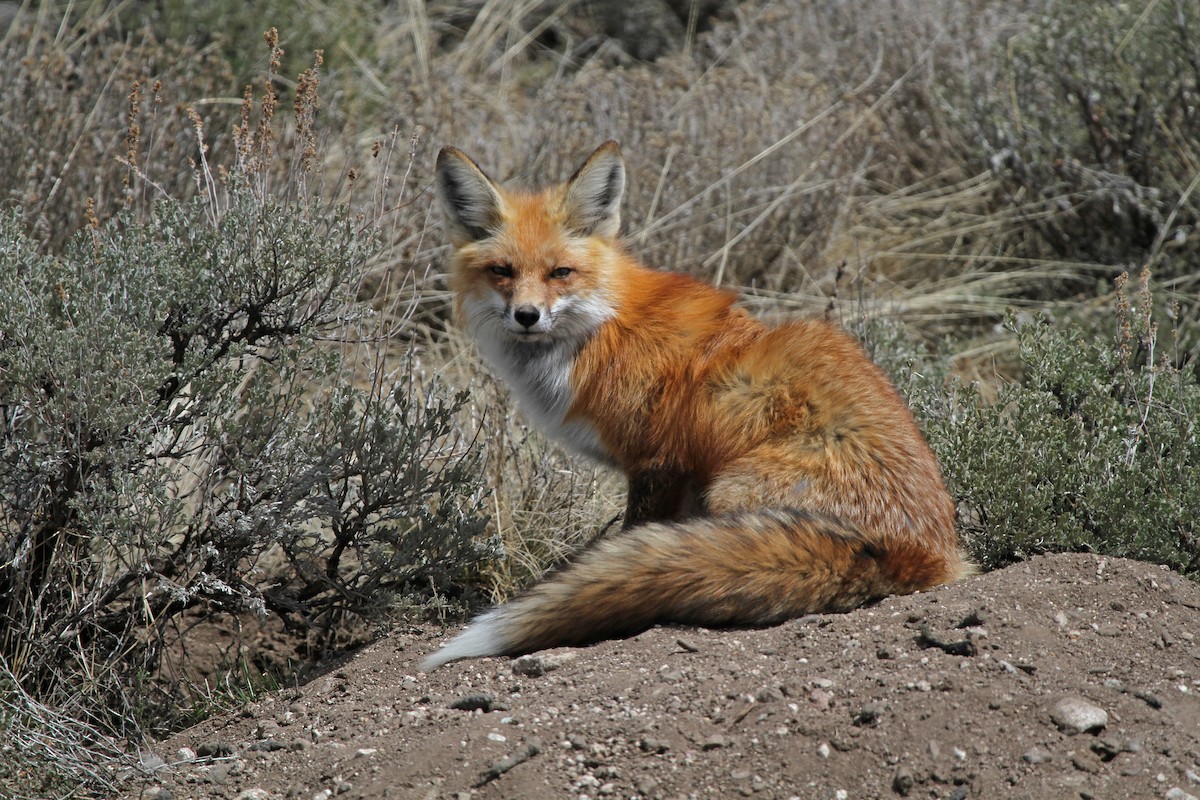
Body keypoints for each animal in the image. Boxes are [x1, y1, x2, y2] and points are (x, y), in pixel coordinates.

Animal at [419, 140, 974, 672]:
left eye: (561, 272)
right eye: (502, 271)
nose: (527, 316)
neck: (603, 331)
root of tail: (921, 551)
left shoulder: (658, 463)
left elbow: (633, 536)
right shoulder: (674, 477)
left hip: (731, 488)